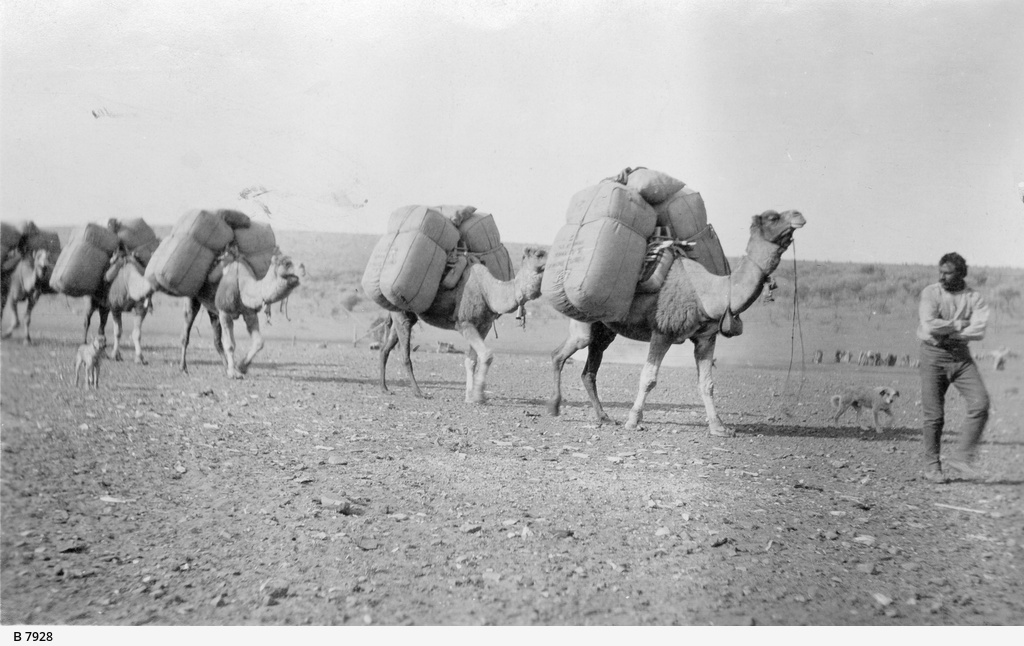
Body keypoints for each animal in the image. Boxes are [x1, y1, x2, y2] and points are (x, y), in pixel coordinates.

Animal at [180, 247, 301, 378]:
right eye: (287, 263)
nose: (302, 267)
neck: (242, 284)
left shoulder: (249, 313)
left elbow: (259, 342)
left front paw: (241, 367)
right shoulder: (225, 312)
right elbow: (230, 344)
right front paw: (234, 373)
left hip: (213, 310)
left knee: (216, 340)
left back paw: (226, 368)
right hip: (192, 297)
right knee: (186, 331)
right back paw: (183, 368)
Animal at [379, 246, 548, 403]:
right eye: (540, 254)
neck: (488, 292)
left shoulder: (484, 326)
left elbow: (472, 360)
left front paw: (469, 397)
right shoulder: (464, 323)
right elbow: (486, 355)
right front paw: (479, 396)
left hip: (402, 314)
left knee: (385, 348)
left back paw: (385, 388)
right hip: (401, 312)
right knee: (404, 353)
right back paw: (419, 393)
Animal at [547, 209, 806, 436]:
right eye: (773, 217)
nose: (799, 215)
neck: (708, 292)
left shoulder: (705, 337)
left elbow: (707, 383)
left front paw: (719, 428)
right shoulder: (663, 331)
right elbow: (648, 378)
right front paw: (633, 421)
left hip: (604, 330)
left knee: (589, 371)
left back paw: (604, 417)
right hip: (584, 322)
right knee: (560, 354)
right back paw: (554, 407)